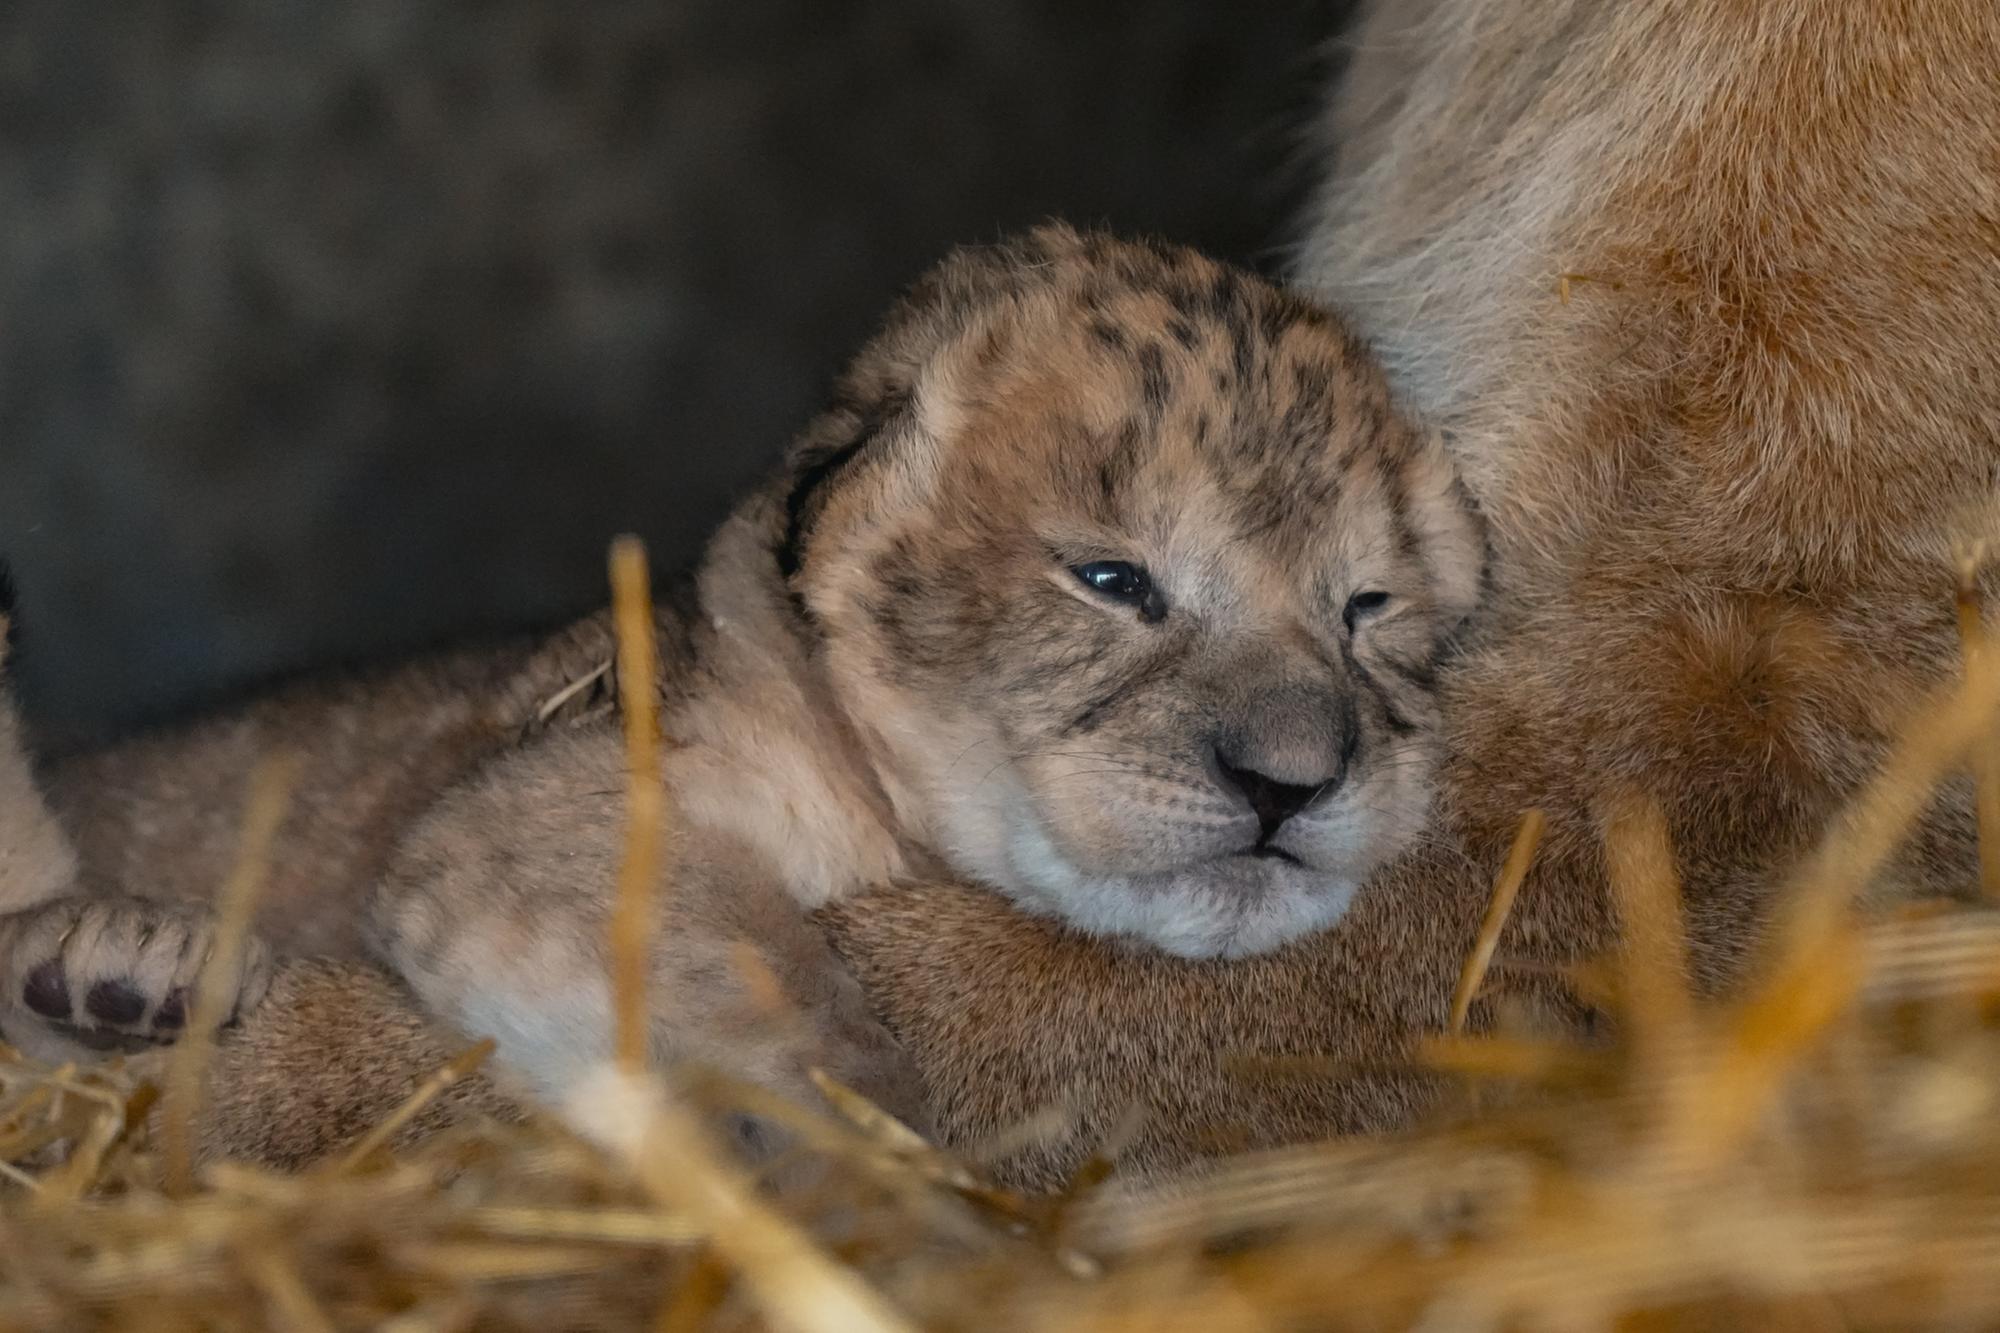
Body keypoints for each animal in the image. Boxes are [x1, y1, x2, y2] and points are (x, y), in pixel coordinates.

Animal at [0, 225, 1483, 1165]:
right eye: (1112, 580)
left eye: (1366, 608)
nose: (1292, 779)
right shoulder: (549, 814)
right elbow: (776, 999)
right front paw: (876, 1183)